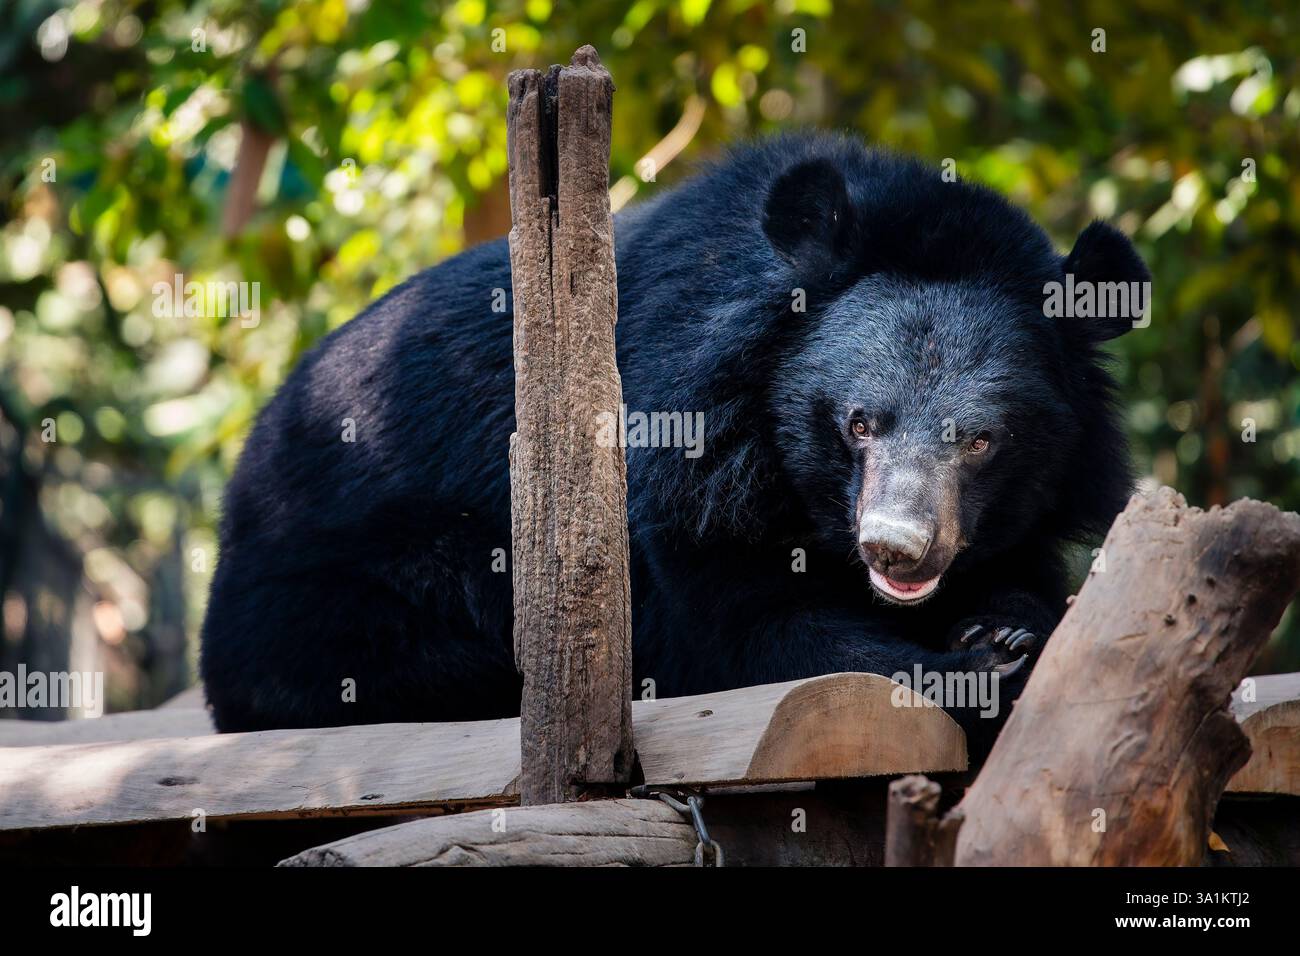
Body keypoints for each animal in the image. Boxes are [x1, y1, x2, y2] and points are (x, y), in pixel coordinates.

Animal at [199, 132, 1147, 757]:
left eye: (981, 440)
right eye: (858, 423)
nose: (899, 548)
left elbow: (1025, 575)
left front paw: (1006, 627)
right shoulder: (680, 463)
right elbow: (749, 629)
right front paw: (976, 665)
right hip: (351, 583)